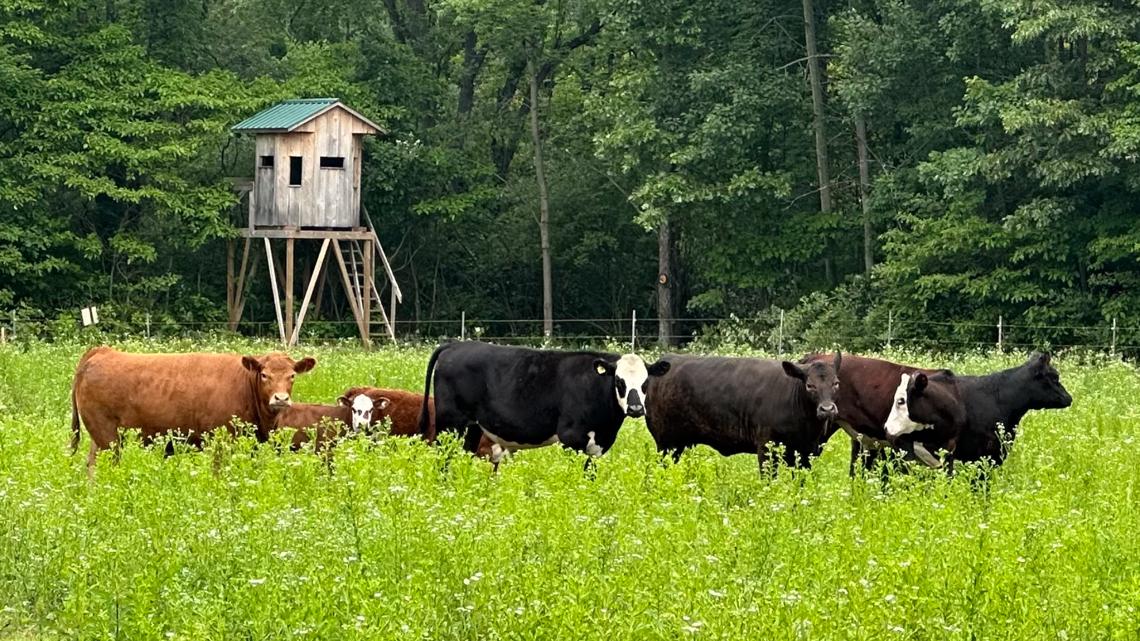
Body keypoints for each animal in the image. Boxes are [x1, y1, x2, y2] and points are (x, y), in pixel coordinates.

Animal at [70, 346, 316, 473]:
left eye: (292, 375)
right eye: (264, 375)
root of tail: (103, 351)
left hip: (99, 436)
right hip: (107, 435)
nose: (281, 399)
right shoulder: (221, 440)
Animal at [418, 341, 671, 468]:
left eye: (645, 382)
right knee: (443, 456)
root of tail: (457, 344)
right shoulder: (573, 438)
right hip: (450, 423)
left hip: (472, 427)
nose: (636, 409)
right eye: (619, 381)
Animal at [643, 352, 841, 473]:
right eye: (810, 385)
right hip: (666, 443)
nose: (827, 409)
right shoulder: (766, 448)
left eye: (836, 383)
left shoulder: (805, 454)